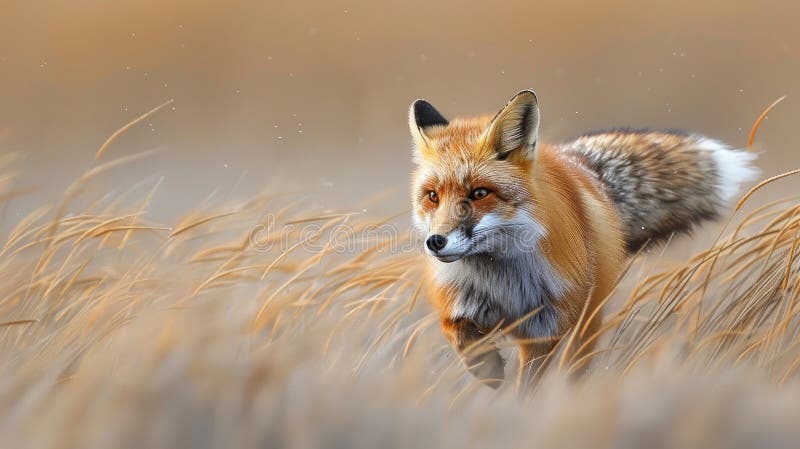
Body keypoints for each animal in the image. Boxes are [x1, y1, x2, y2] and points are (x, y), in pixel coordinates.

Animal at [408, 89, 759, 389]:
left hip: (586, 325)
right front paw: (488, 371)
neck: (502, 284)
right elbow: (458, 334)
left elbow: (528, 386)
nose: (436, 242)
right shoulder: (457, 302)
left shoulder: (543, 329)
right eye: (432, 196)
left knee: (576, 367)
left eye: (480, 194)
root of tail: (581, 166)